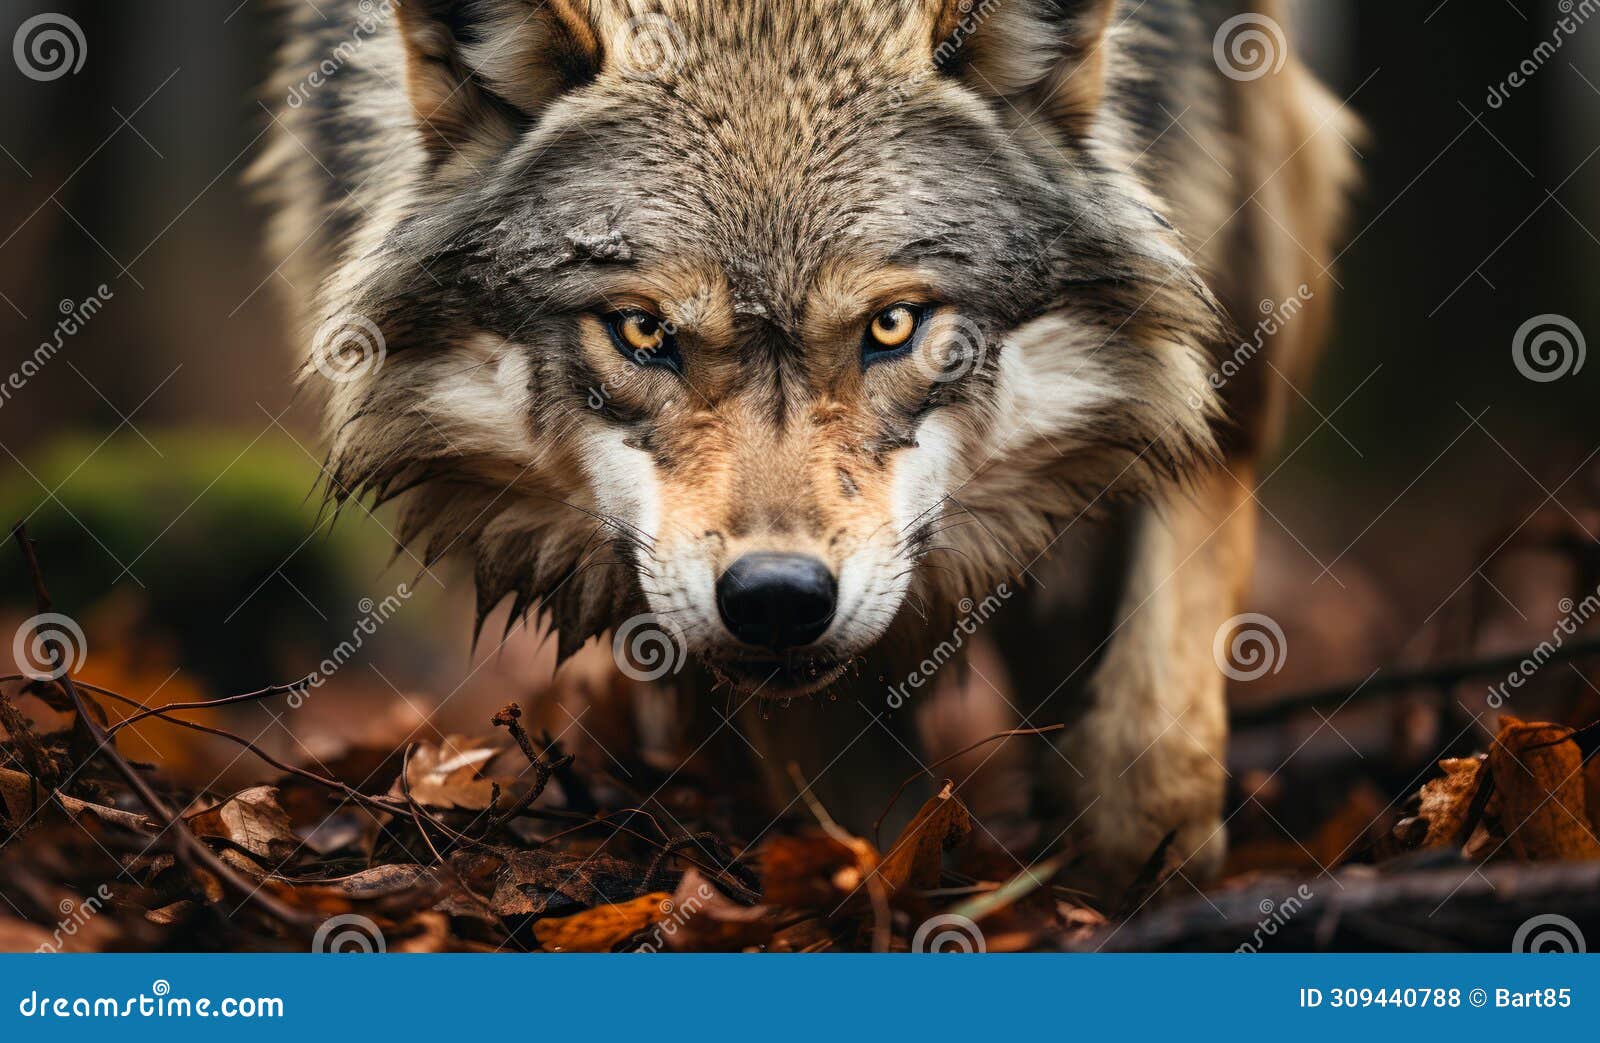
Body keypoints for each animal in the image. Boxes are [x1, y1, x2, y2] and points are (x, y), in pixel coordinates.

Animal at [254, 0, 1358, 892]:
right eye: (642, 331)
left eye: (893, 325)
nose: (777, 597)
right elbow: (854, 809)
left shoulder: (1215, 350)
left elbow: (1155, 730)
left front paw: (1138, 880)